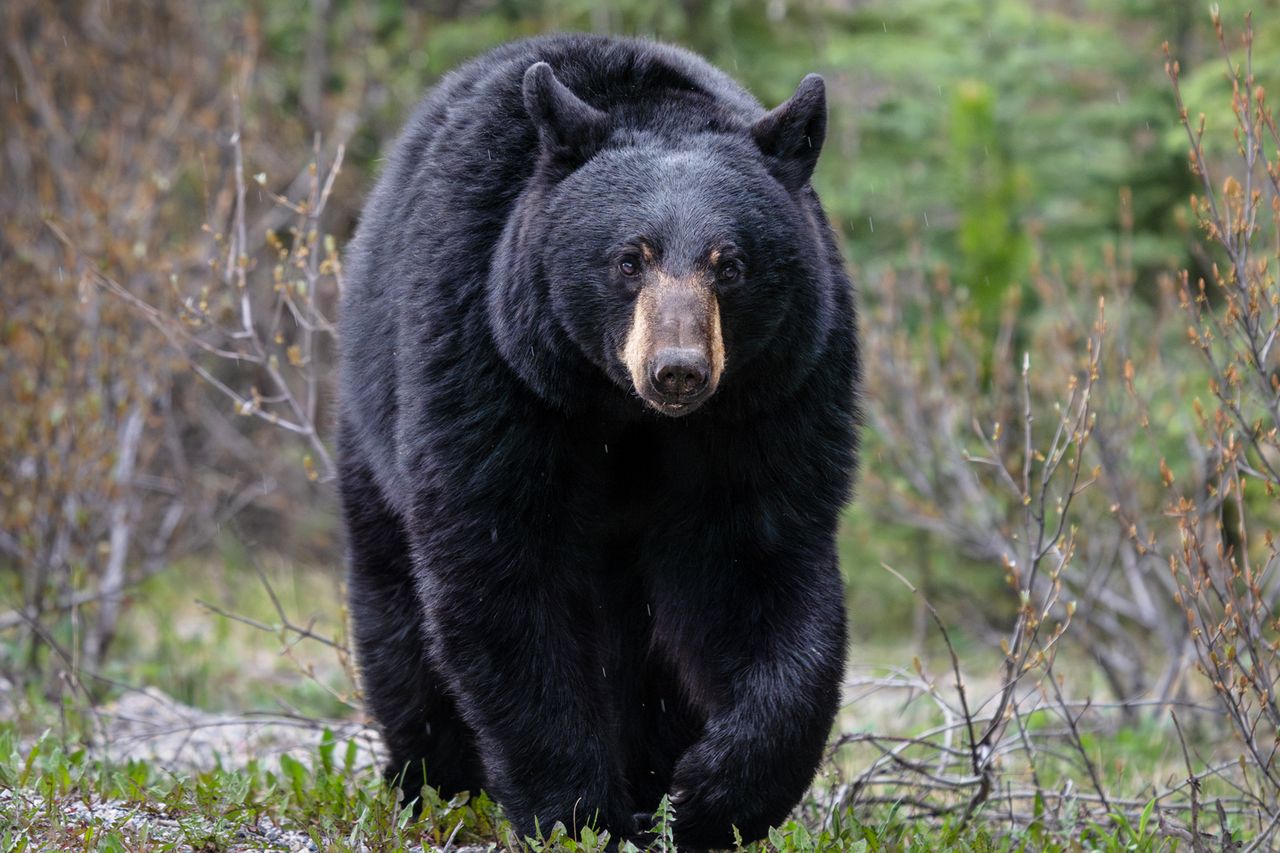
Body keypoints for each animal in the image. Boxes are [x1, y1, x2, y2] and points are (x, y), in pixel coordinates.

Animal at [337, 33, 859, 849]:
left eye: (730, 264)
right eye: (628, 258)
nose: (677, 369)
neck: (626, 414)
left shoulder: (772, 401)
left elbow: (757, 566)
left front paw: (709, 794)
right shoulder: (495, 370)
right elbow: (503, 571)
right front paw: (578, 811)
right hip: (372, 431)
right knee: (395, 608)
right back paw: (433, 782)